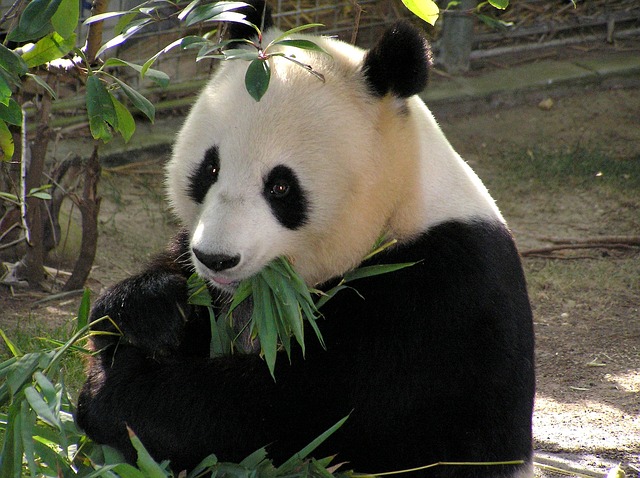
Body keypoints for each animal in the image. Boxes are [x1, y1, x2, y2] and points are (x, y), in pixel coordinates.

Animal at [76, 2, 536, 477]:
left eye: (281, 187)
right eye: (210, 169)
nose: (216, 258)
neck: (398, 209)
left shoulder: (437, 293)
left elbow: (301, 411)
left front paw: (116, 395)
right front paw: (151, 311)